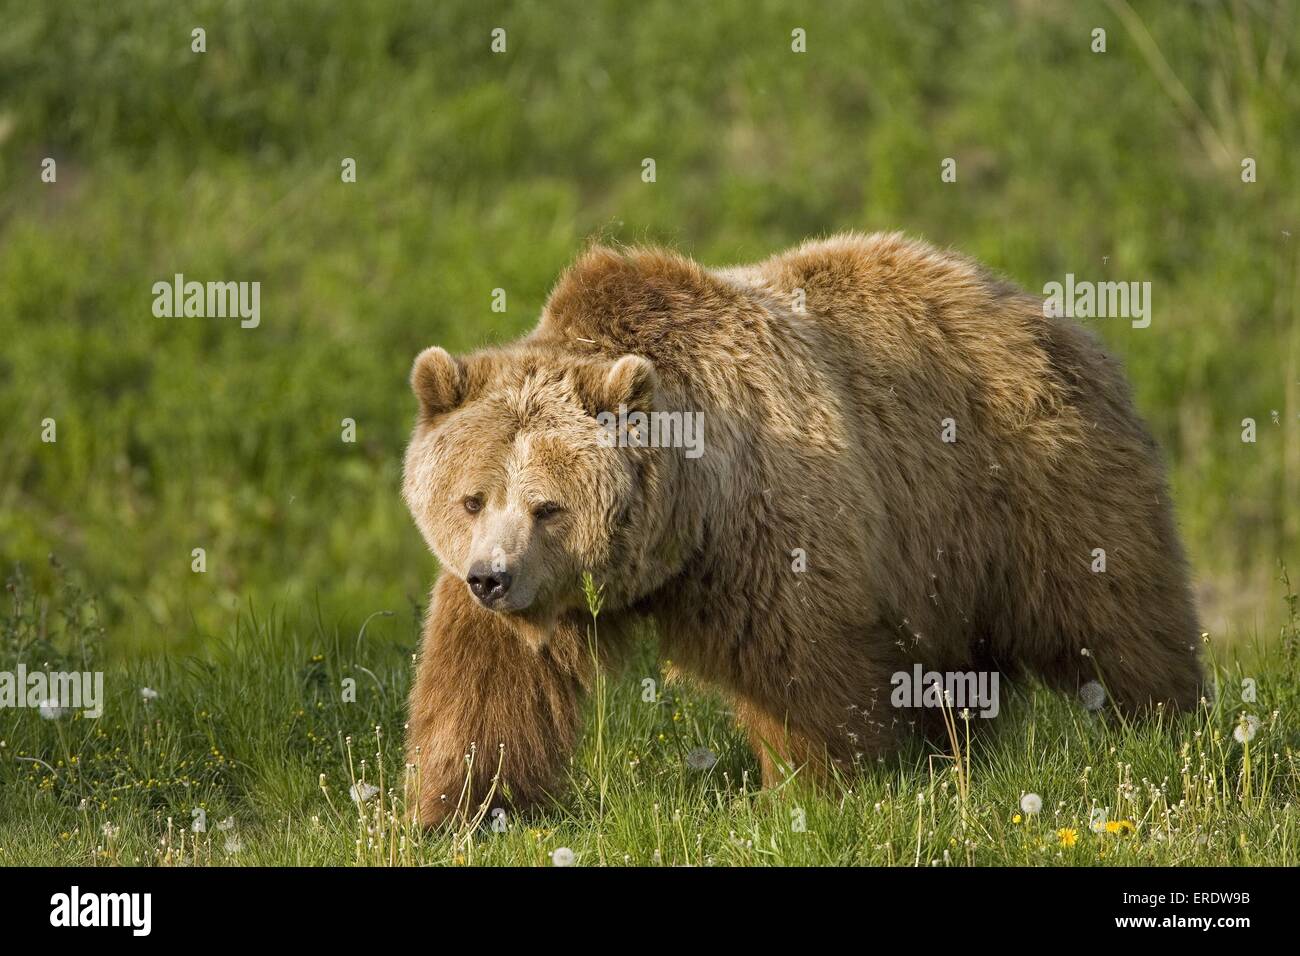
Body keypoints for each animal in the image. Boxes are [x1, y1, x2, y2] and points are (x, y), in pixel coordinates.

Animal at [402, 232, 1204, 827]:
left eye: (549, 506)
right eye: (472, 499)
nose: (492, 579)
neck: (687, 521)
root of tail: (1042, 312)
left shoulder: (772, 523)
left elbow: (806, 670)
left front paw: (818, 790)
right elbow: (485, 684)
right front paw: (462, 809)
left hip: (1031, 481)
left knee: (1113, 613)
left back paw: (1162, 724)